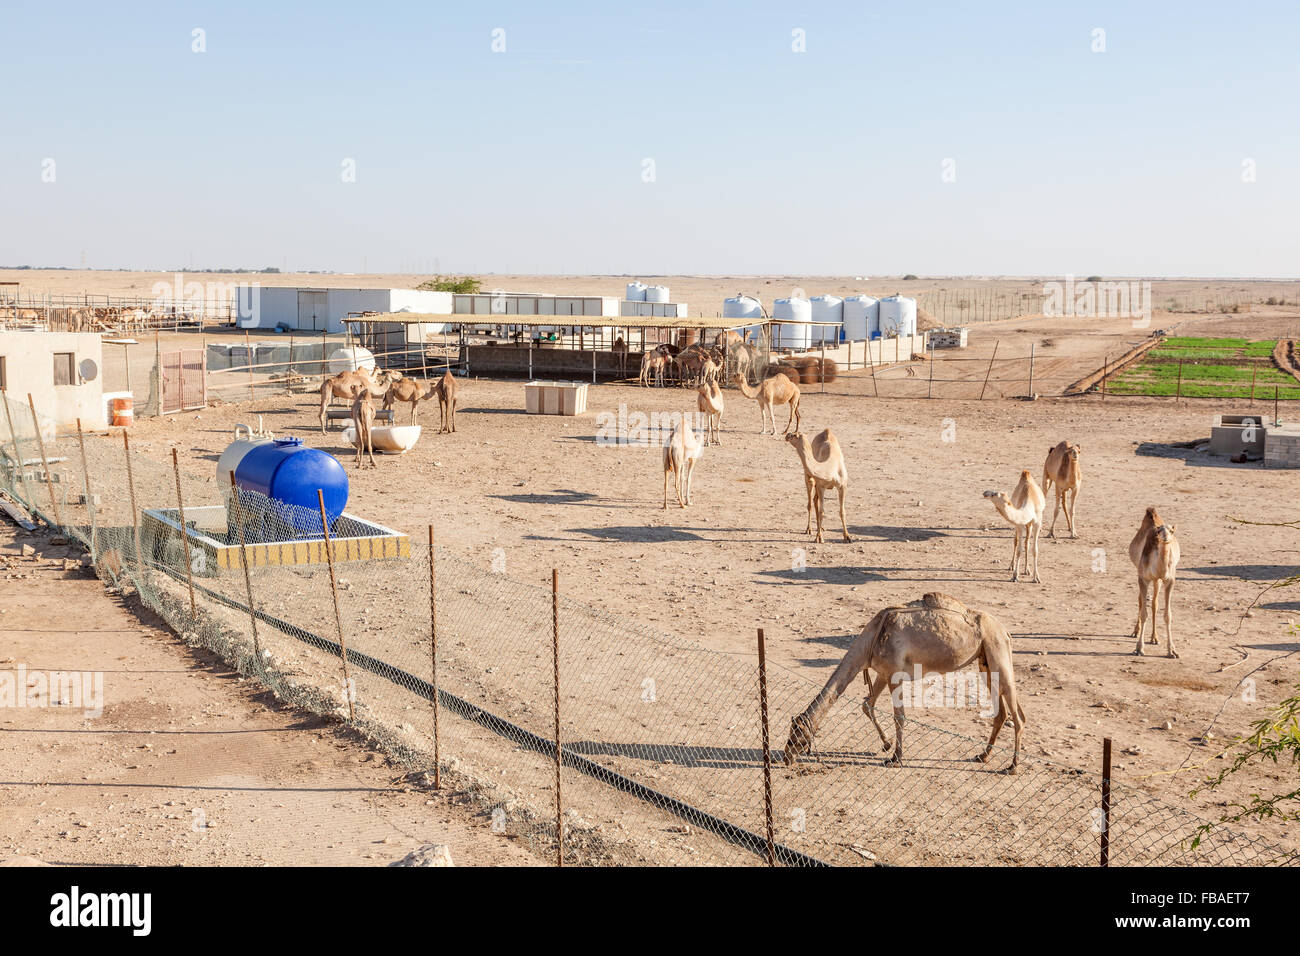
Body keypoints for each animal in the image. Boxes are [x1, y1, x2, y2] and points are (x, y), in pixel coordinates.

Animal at [782, 593, 1026, 774]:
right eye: (790, 733)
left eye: (798, 738)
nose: (786, 757)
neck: (871, 639)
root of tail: (1005, 631)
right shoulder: (883, 673)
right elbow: (867, 704)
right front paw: (886, 744)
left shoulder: (894, 675)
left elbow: (899, 716)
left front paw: (895, 758)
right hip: (985, 661)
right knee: (1001, 713)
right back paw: (983, 756)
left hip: (997, 650)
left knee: (1018, 716)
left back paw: (1012, 766)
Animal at [1129, 507, 1180, 658]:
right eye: (1159, 531)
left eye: (1171, 531)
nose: (1165, 537)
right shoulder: (1143, 578)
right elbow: (1143, 613)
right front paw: (1139, 648)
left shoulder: (1169, 580)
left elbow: (1167, 615)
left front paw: (1172, 651)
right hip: (1143, 573)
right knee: (1141, 600)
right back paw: (1135, 632)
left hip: (1157, 580)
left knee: (1154, 604)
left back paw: (1154, 638)